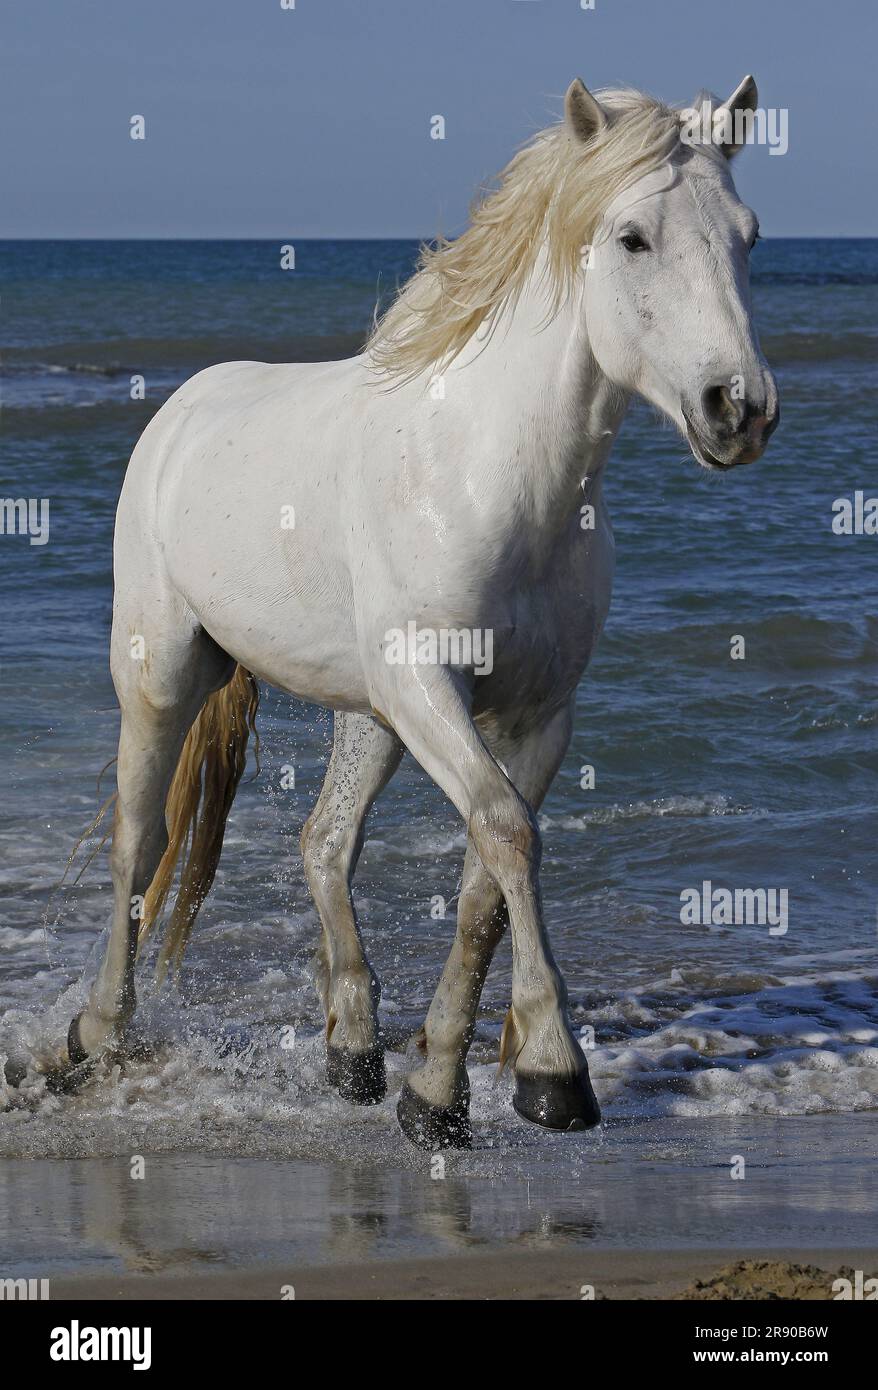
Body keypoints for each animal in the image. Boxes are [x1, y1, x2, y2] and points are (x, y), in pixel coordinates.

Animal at [66, 76, 779, 1149]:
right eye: (632, 238)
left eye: (748, 235)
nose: (738, 408)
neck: (489, 477)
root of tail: (183, 408)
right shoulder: (430, 686)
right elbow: (506, 834)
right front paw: (554, 1071)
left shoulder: (537, 715)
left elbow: (488, 875)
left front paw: (438, 1090)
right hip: (163, 677)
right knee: (139, 841)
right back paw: (98, 1035)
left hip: (368, 717)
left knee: (324, 843)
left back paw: (354, 1051)